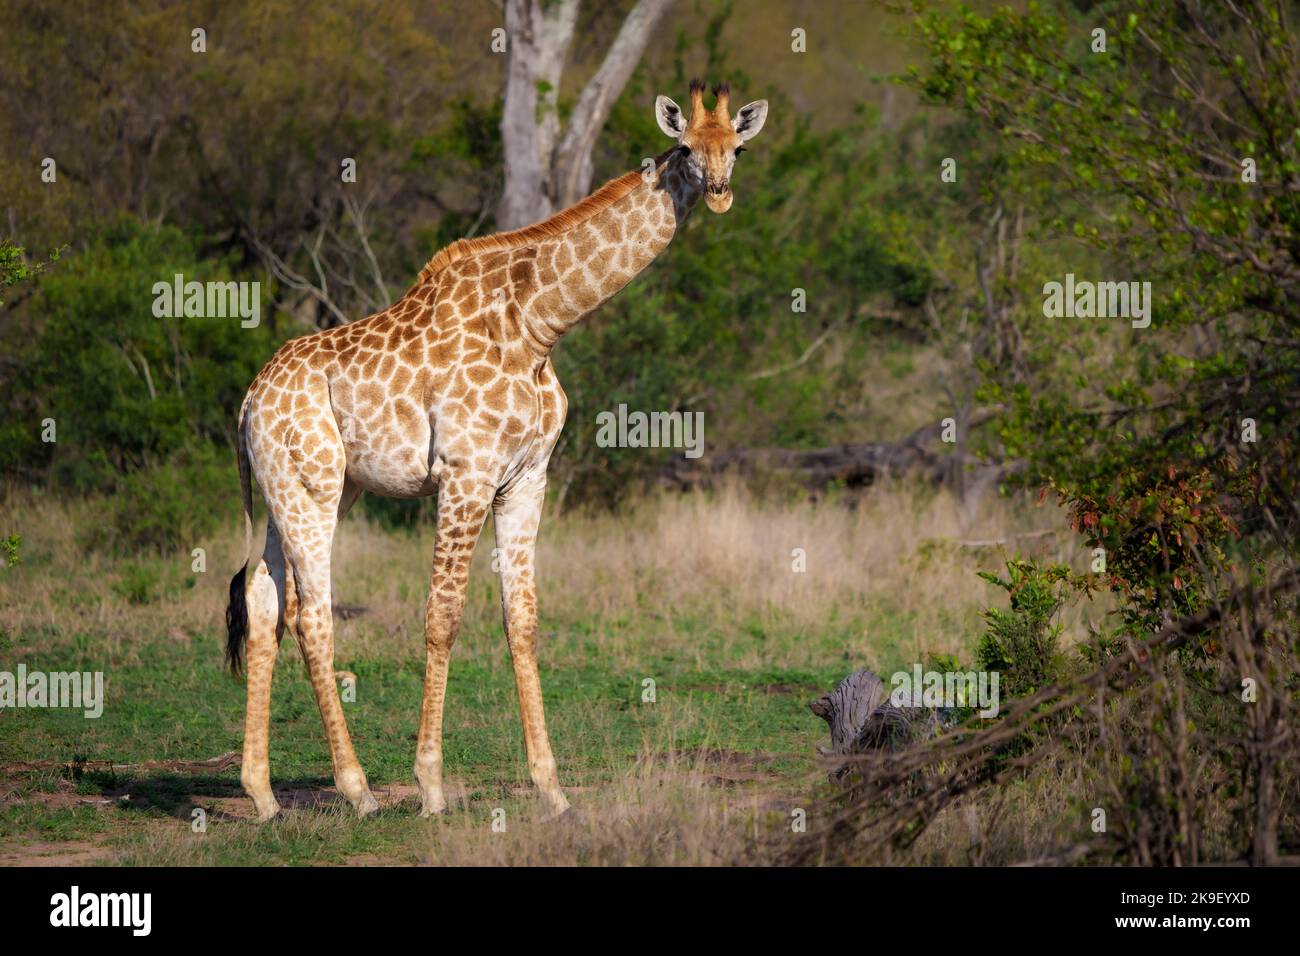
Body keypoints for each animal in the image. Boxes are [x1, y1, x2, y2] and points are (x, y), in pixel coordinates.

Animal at [224, 80, 769, 821]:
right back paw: (359, 791)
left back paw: (263, 795)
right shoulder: (465, 473)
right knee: (312, 617)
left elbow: (523, 619)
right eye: (684, 147)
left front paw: (553, 789)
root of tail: (249, 400)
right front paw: (430, 786)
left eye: (736, 148)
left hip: (303, 489)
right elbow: (442, 617)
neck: (537, 325)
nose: (717, 192)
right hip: (313, 490)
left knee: (262, 602)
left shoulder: (527, 477)